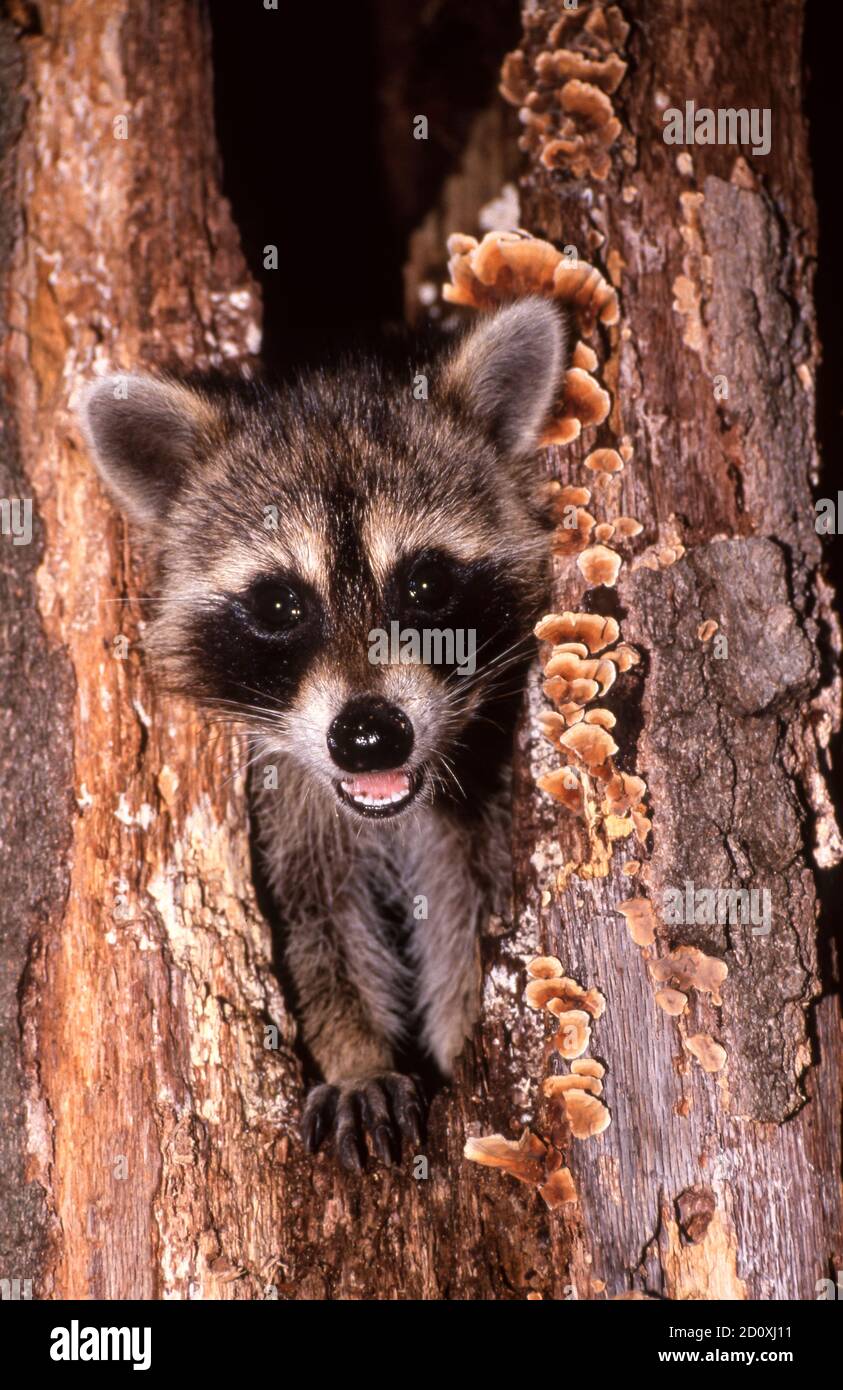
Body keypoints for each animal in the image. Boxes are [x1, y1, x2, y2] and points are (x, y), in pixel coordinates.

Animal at [79, 298, 566, 1171]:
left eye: (425, 583)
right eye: (279, 605)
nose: (370, 737)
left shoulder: (483, 803)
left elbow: (468, 923)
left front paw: (455, 1044)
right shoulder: (283, 808)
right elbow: (312, 933)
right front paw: (355, 1058)